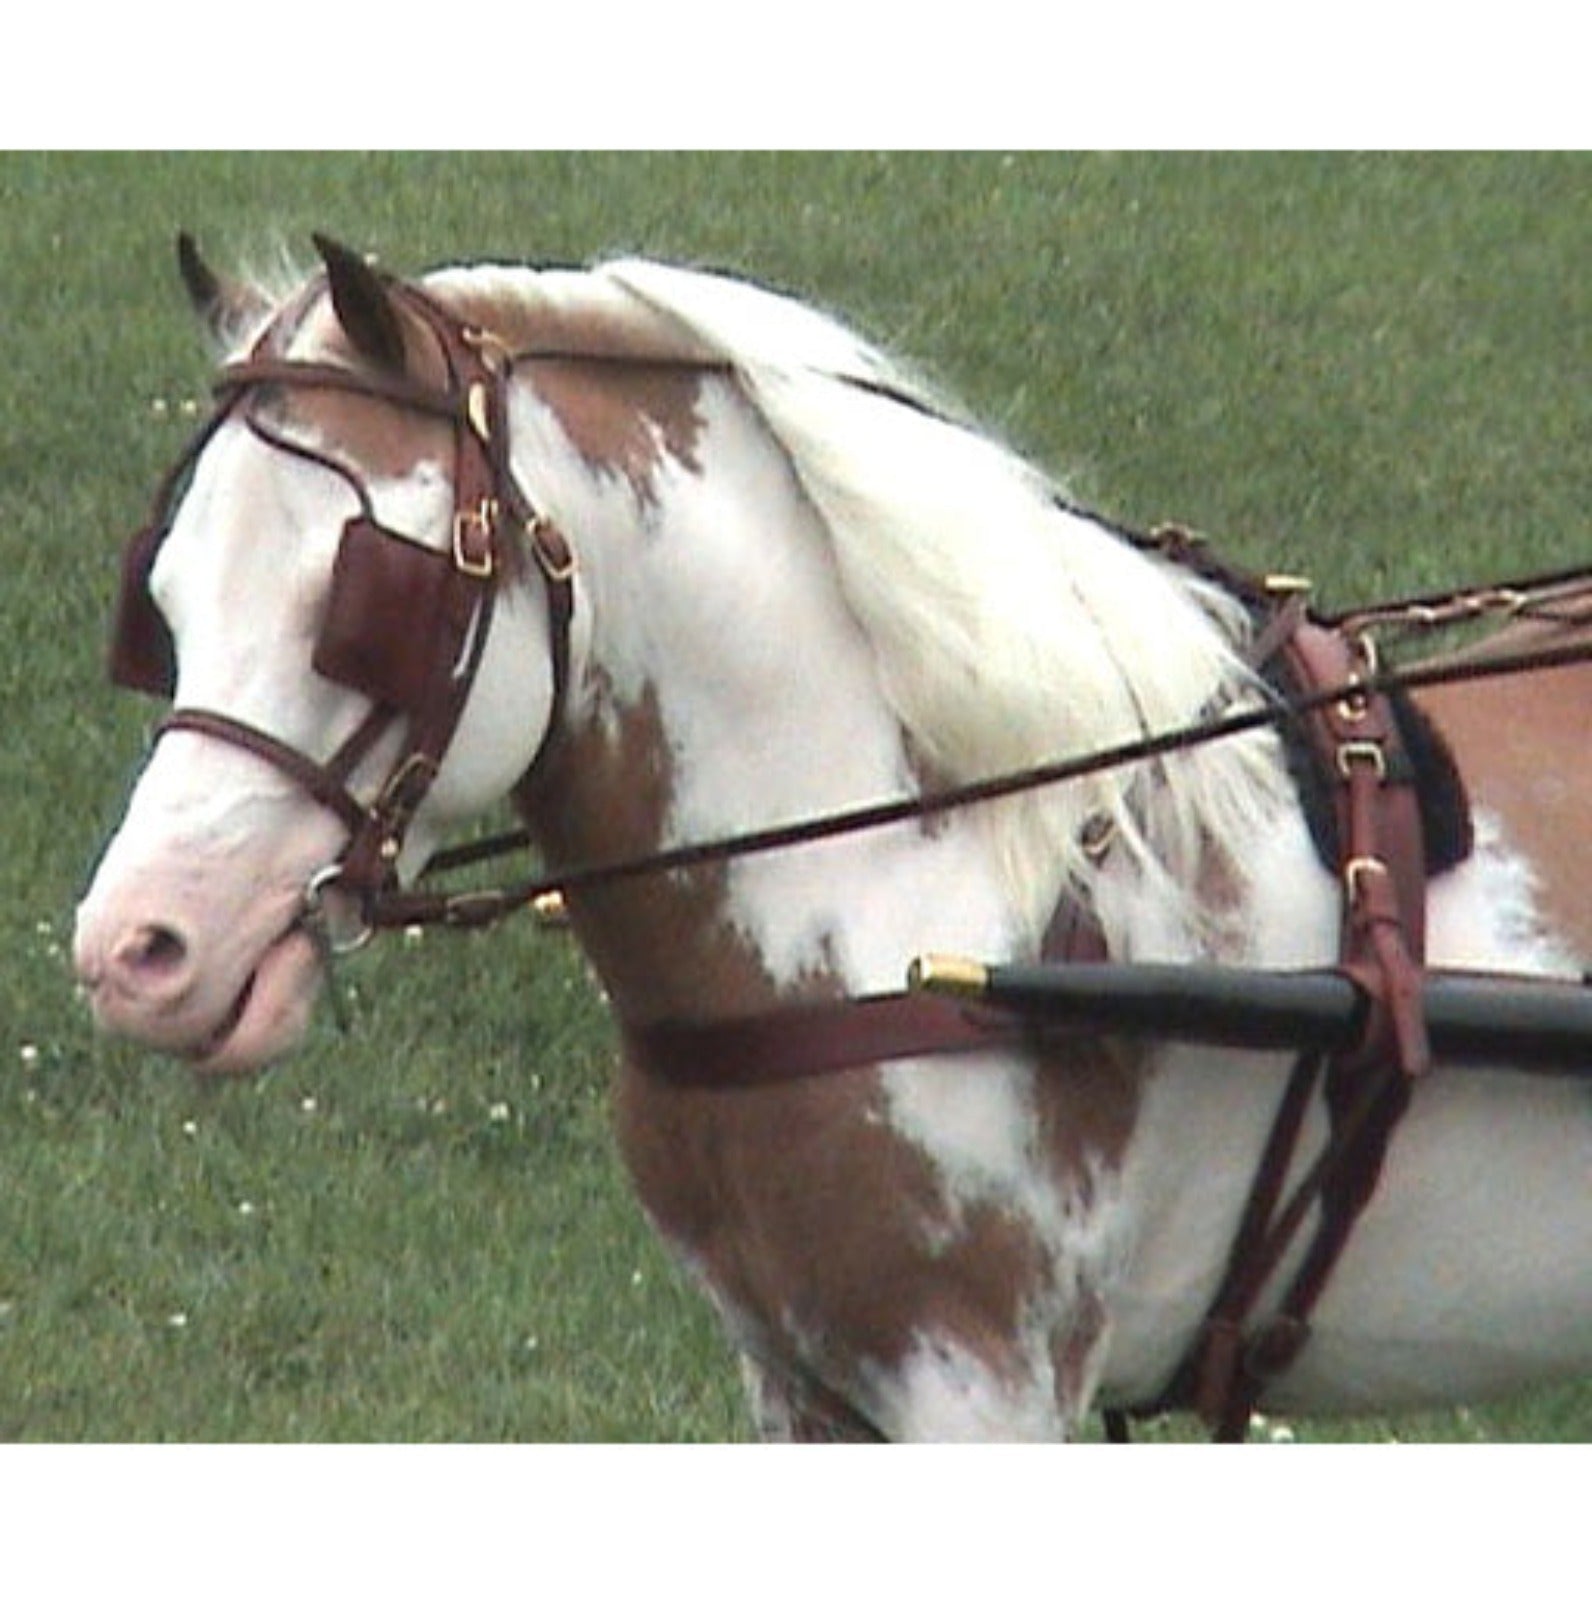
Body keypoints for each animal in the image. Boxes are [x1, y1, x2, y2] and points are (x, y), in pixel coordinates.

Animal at [73, 235, 1592, 1441]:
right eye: (164, 596)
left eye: (364, 598)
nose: (139, 946)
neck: (913, 870)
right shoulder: (797, 1381)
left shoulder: (980, 1387)